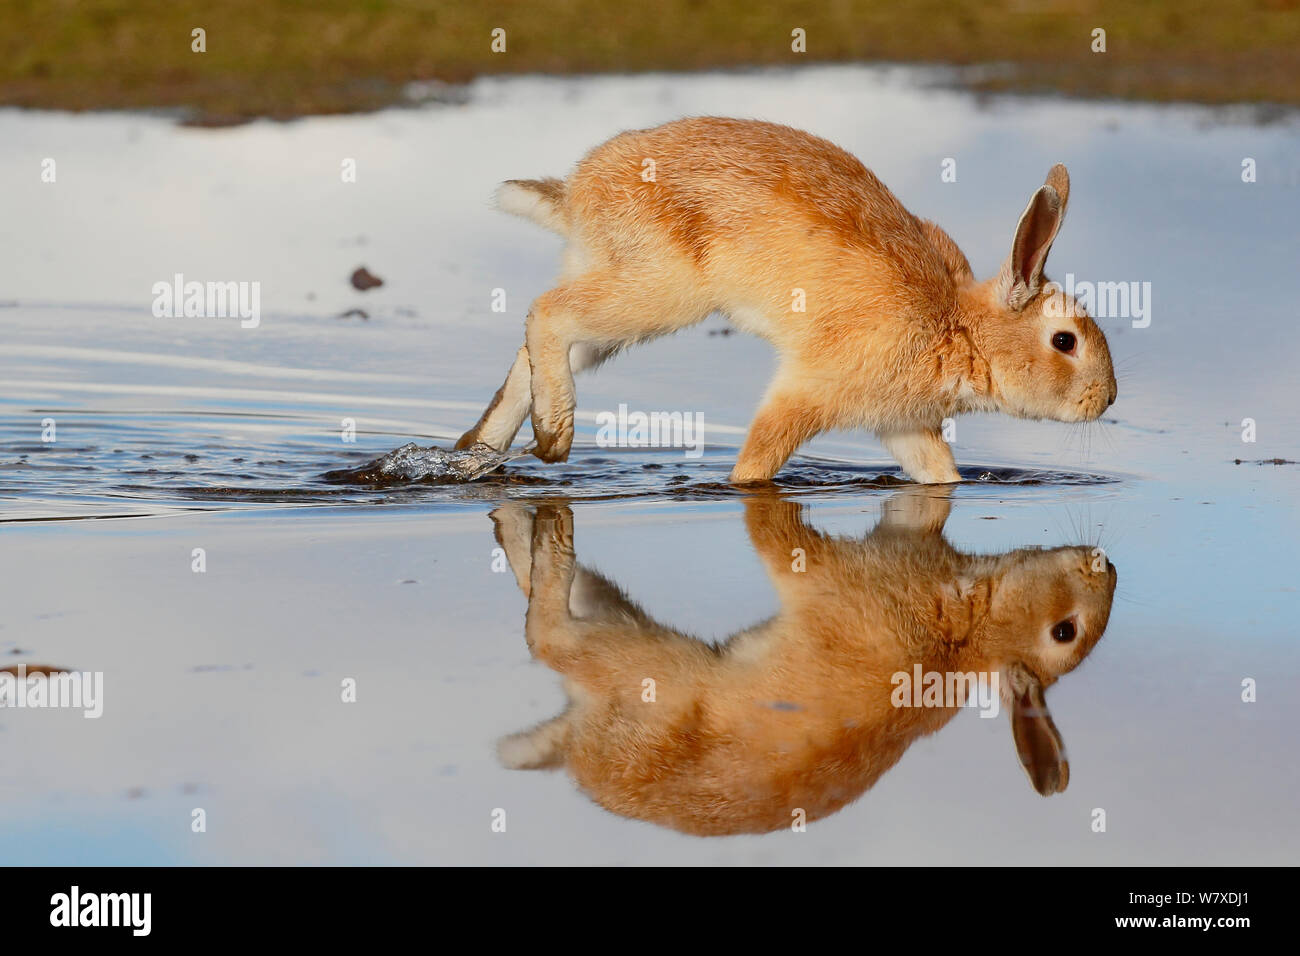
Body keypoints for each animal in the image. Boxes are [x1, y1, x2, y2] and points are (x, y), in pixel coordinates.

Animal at [457, 117, 1117, 483]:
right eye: (1064, 341)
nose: (1106, 399)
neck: (958, 327)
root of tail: (576, 192)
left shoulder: (904, 427)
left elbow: (941, 477)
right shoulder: (807, 391)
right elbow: (760, 457)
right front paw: (738, 485)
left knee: (538, 347)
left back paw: (481, 452)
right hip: (658, 293)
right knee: (547, 310)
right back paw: (553, 437)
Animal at [490, 488, 1117, 836]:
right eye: (1065, 632)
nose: (1106, 566)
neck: (964, 635)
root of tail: (577, 751)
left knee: (548, 636)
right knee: (544, 638)